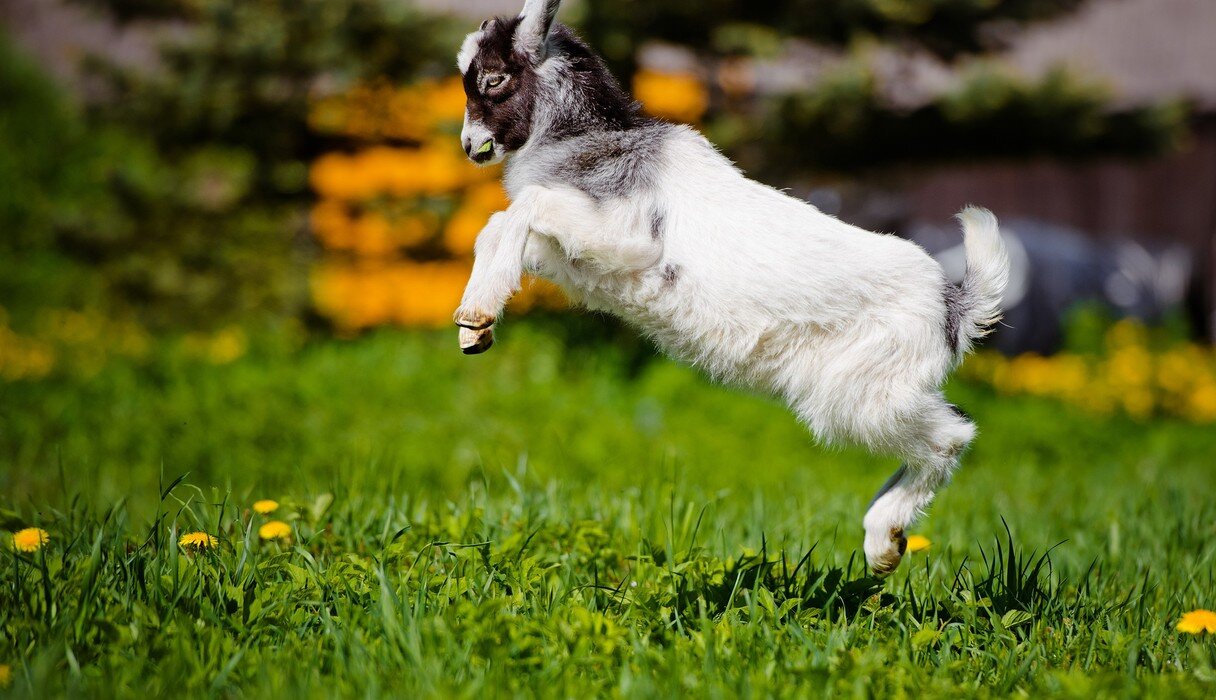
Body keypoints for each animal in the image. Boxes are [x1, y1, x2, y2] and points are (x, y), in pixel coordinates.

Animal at [453, 0, 1010, 575]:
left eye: (493, 78)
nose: (470, 147)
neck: (590, 141)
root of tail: (952, 307)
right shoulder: (565, 254)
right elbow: (497, 229)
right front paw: (475, 326)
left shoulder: (626, 236)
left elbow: (525, 206)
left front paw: (475, 315)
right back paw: (885, 541)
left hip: (861, 393)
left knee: (951, 436)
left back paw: (883, 538)